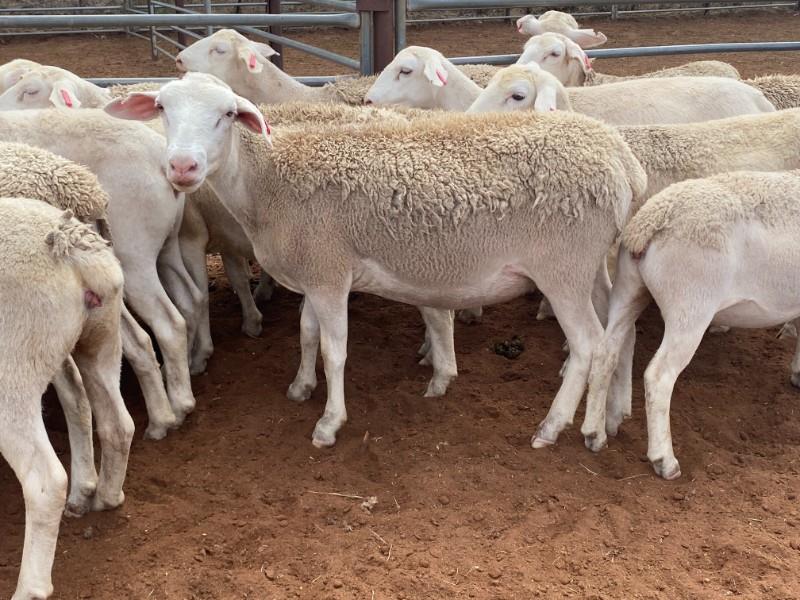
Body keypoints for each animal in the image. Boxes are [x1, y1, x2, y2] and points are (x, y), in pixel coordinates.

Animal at [0, 198, 134, 600]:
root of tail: (72, 246)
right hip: (101, 341)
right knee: (117, 424)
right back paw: (106, 496)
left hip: (13, 366)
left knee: (45, 482)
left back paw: (30, 587)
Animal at [106, 72, 646, 448]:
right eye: (162, 109)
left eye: (225, 114)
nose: (182, 167)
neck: (270, 181)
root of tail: (621, 160)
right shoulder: (317, 269)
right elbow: (307, 333)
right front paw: (301, 387)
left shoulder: (328, 274)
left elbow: (335, 350)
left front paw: (329, 423)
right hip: (592, 266)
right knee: (617, 336)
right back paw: (606, 421)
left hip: (563, 268)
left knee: (589, 345)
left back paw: (555, 427)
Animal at [580, 170, 800, 480]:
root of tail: (650, 222)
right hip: (690, 306)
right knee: (659, 376)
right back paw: (664, 460)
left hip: (629, 289)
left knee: (604, 354)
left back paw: (594, 434)